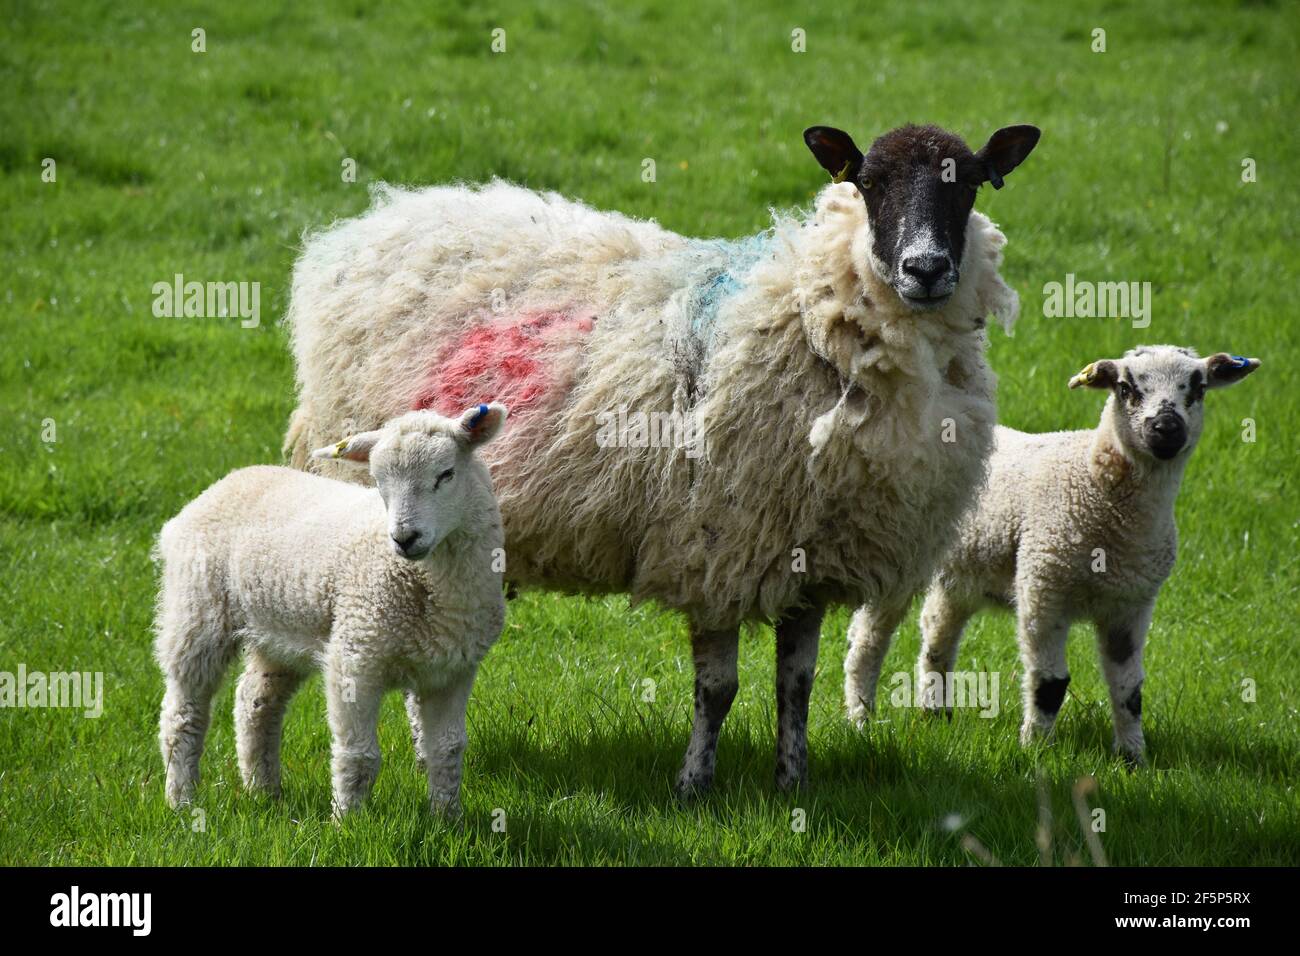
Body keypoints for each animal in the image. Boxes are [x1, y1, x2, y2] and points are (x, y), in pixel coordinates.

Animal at [154, 403, 508, 816]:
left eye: (446, 474)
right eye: (378, 482)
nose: (404, 538)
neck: (436, 590)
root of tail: (226, 482)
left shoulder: (453, 669)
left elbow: (448, 750)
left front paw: (447, 818)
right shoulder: (355, 655)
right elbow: (360, 755)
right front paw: (349, 820)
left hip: (279, 632)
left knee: (255, 702)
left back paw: (264, 791)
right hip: (196, 611)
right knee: (183, 713)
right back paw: (181, 800)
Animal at [282, 121, 1041, 794]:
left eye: (971, 181)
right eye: (870, 180)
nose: (926, 269)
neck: (808, 315)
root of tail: (369, 224)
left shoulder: (809, 558)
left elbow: (795, 685)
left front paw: (792, 783)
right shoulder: (715, 546)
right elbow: (719, 687)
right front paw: (693, 786)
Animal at [843, 346, 1261, 764]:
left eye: (1199, 388)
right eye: (1125, 388)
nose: (1166, 428)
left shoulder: (1131, 605)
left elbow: (1129, 690)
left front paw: (1132, 759)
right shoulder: (1043, 586)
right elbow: (1050, 683)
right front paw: (1035, 752)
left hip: (960, 574)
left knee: (936, 634)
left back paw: (935, 713)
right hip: (893, 558)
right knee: (866, 641)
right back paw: (861, 719)